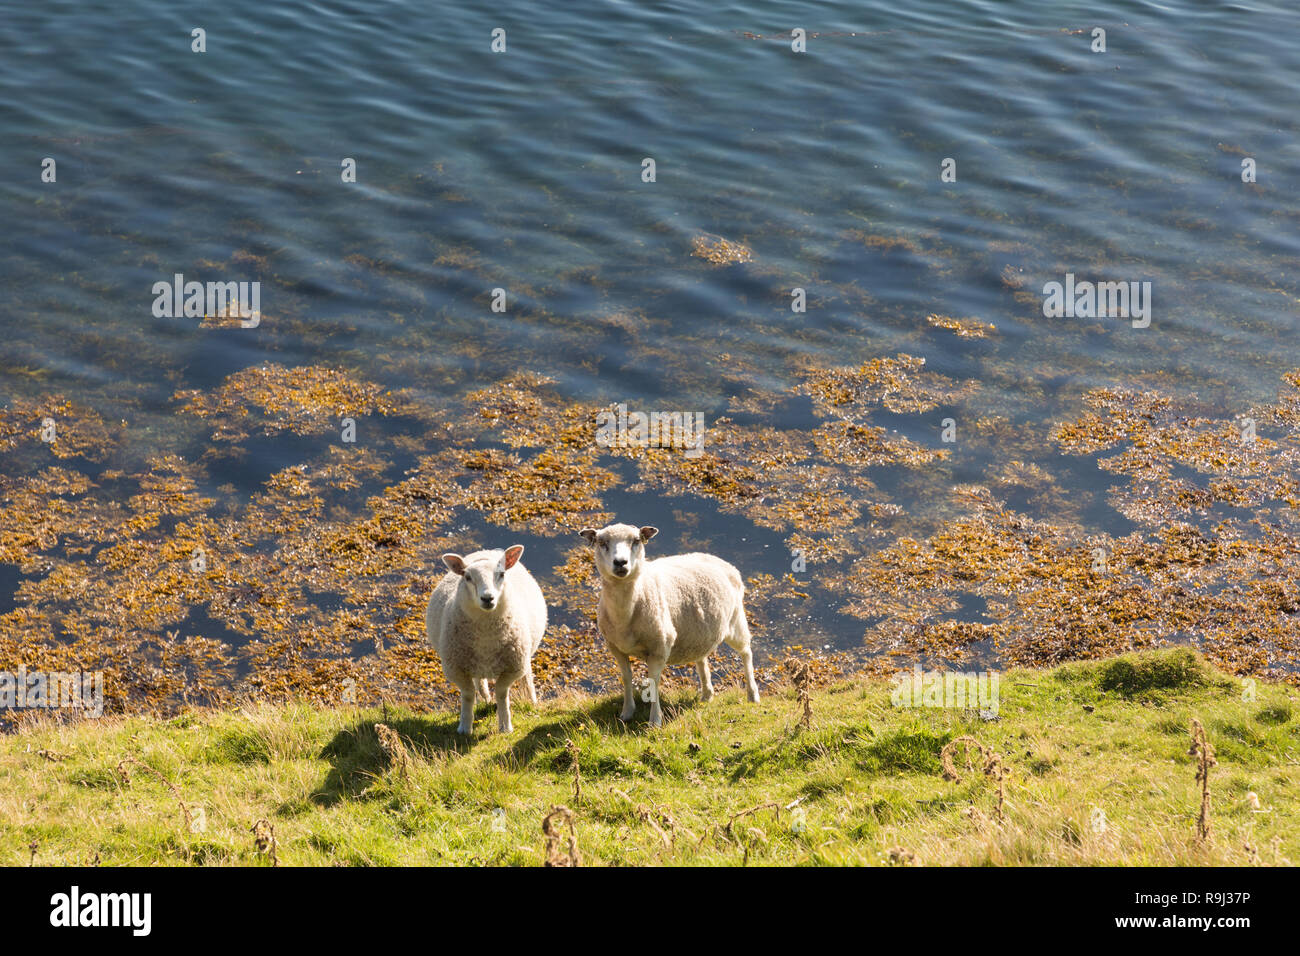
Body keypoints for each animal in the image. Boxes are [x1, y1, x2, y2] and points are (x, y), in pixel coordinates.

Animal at [425, 545, 546, 734]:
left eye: (501, 574)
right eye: (467, 577)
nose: (487, 598)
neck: (486, 638)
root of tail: (489, 550)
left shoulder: (512, 667)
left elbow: (502, 693)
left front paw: (505, 726)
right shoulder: (456, 669)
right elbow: (468, 695)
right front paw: (465, 727)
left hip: (523, 656)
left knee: (527, 676)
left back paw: (531, 700)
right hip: (472, 662)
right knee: (479, 682)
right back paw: (486, 699)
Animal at [579, 523, 760, 727]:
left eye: (636, 540)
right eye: (602, 543)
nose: (620, 563)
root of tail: (723, 562)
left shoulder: (660, 647)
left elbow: (653, 682)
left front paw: (655, 721)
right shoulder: (615, 647)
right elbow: (626, 678)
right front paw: (627, 712)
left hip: (736, 621)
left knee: (746, 652)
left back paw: (753, 695)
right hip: (699, 632)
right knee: (702, 657)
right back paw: (707, 695)